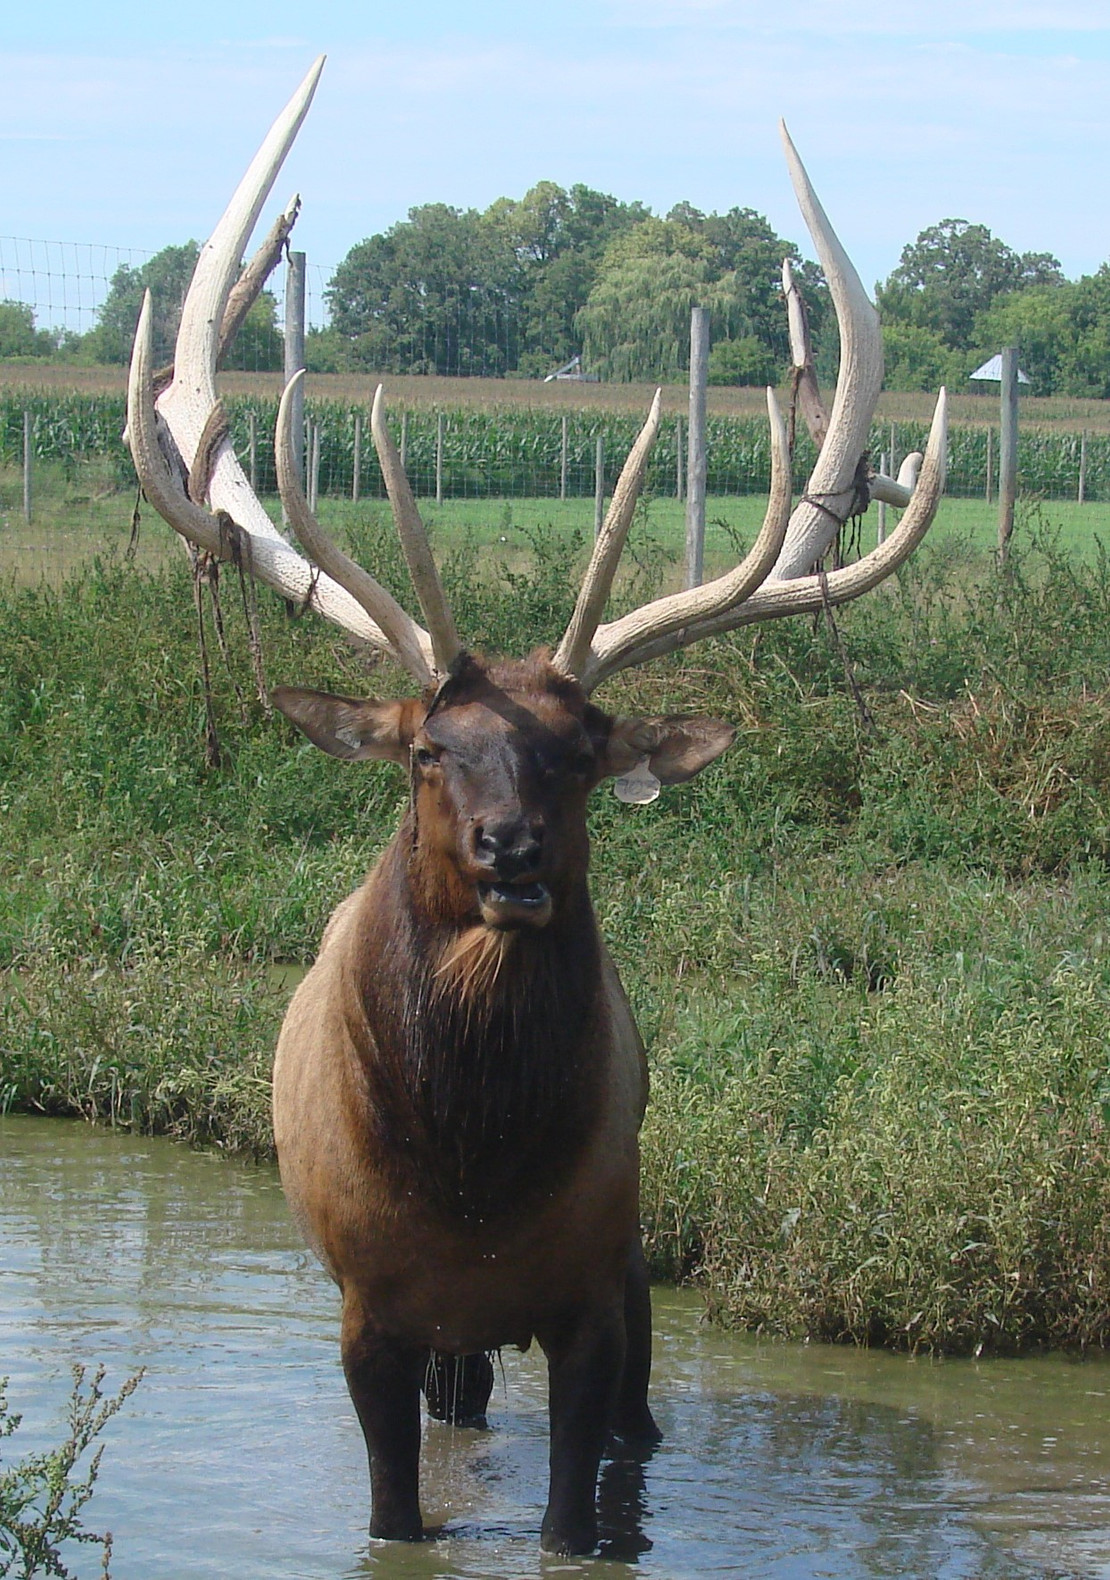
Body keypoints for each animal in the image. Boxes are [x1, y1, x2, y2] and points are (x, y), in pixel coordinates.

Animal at [125, 57, 947, 1557]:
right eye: (429, 751)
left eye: (575, 753)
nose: (510, 850)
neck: (471, 1192)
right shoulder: (369, 1312)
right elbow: (395, 1517)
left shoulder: (586, 1291)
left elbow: (578, 1514)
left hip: (633, 1266)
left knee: (638, 1424)